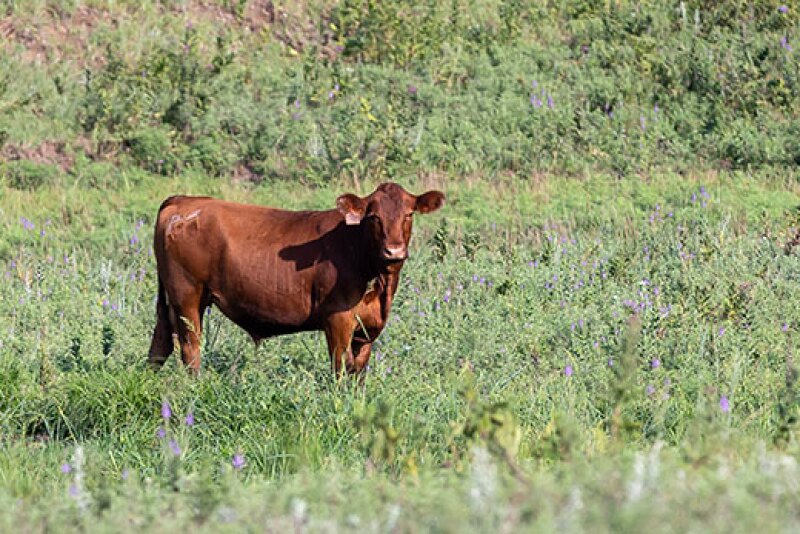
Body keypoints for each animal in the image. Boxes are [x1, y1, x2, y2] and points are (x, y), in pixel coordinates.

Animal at [147, 182, 444, 376]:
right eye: (374, 217)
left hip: (173, 300)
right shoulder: (337, 321)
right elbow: (340, 370)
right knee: (190, 348)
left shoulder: (368, 329)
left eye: (408, 214)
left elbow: (358, 373)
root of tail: (184, 201)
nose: (393, 251)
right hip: (187, 296)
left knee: (160, 342)